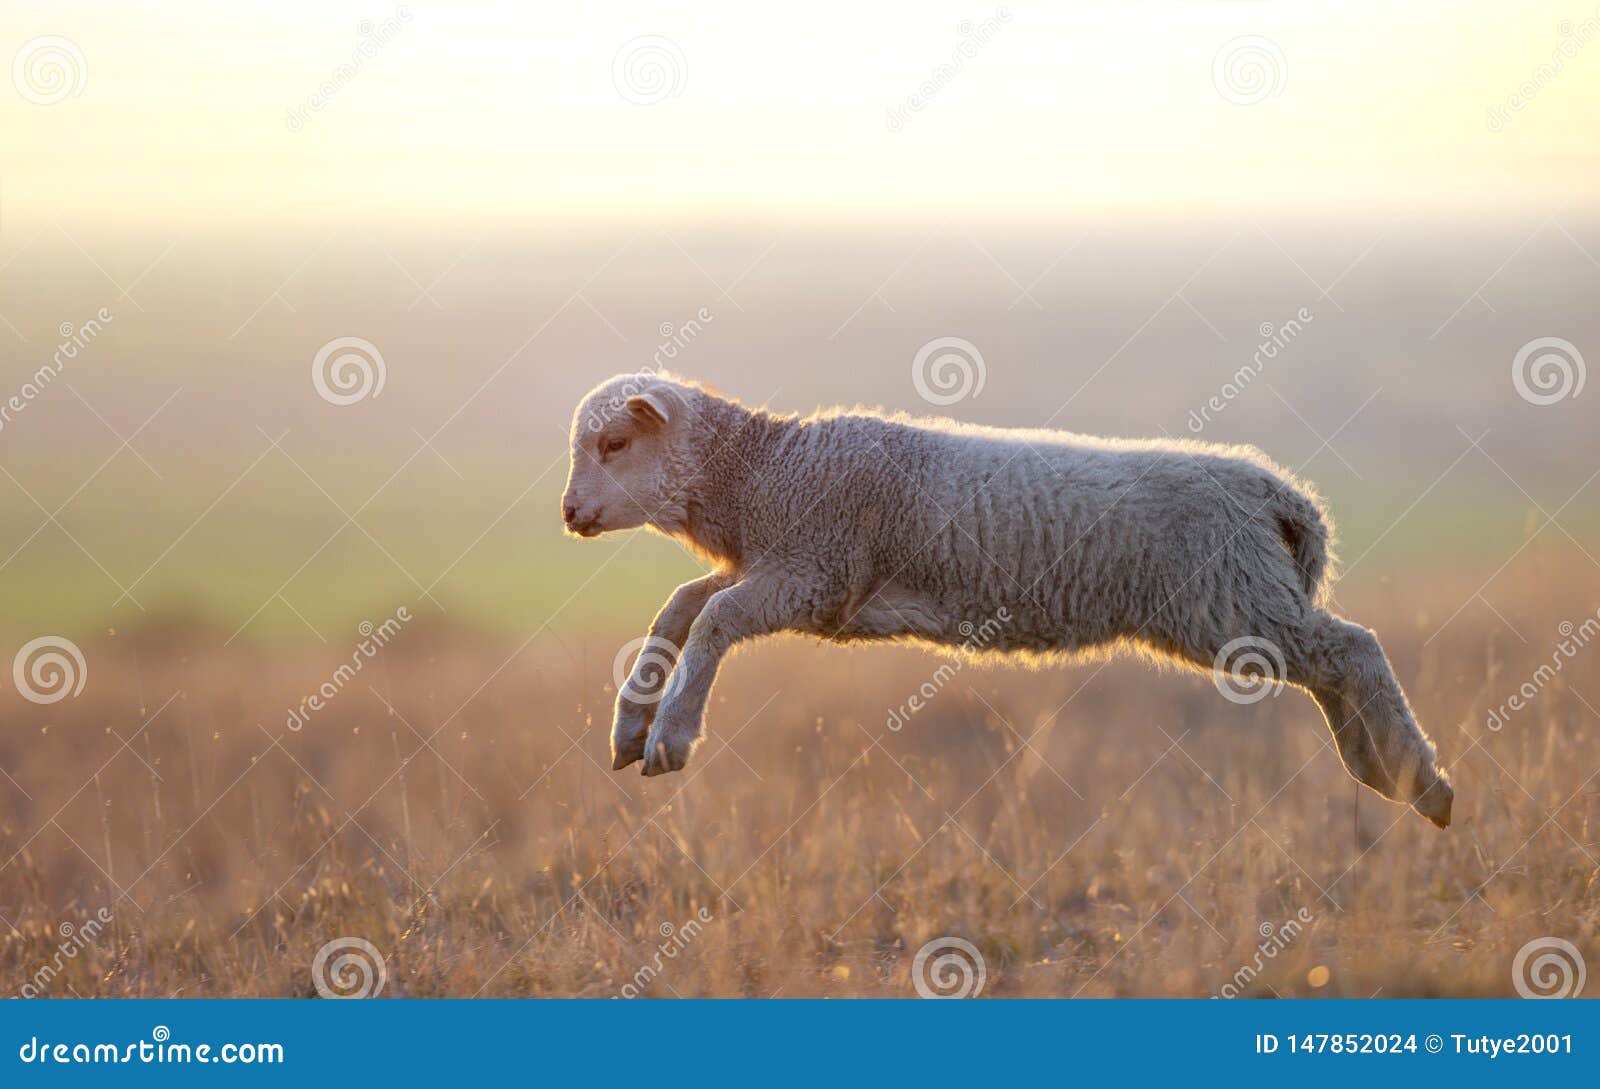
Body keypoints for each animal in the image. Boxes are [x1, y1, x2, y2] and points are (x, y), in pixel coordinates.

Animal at [561, 371, 1454, 828]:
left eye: (615, 442)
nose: (568, 515)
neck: (765, 473)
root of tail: (1280, 495)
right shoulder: (794, 574)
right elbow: (681, 605)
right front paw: (630, 722)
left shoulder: (814, 572)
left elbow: (711, 617)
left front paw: (670, 737)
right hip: (1246, 602)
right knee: (1332, 665)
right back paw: (1383, 771)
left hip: (1230, 605)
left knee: (1352, 648)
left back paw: (1420, 778)